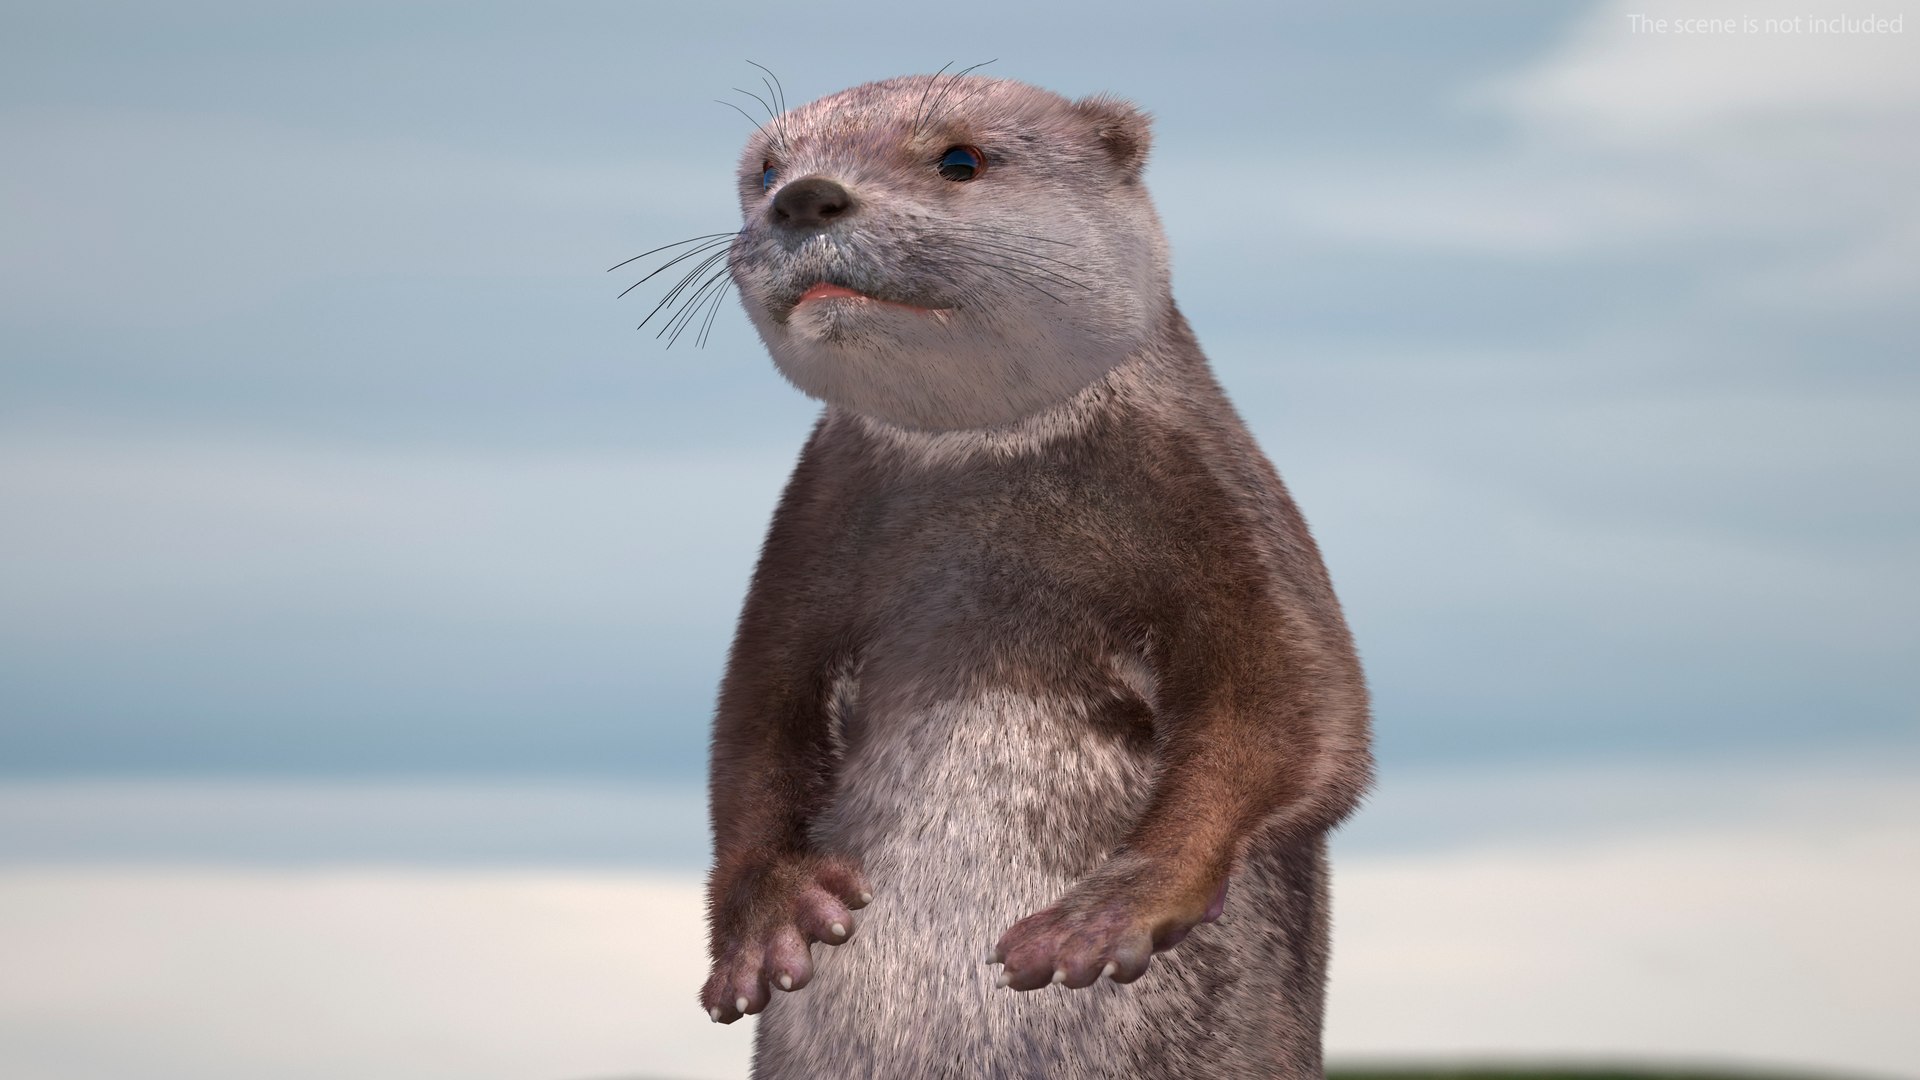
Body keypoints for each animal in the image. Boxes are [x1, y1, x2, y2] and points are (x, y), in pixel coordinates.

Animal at [689, 73, 1372, 1079]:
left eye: (960, 157)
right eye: (765, 168)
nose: (804, 197)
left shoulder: (1227, 513)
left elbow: (1297, 714)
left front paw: (1112, 911)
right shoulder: (802, 555)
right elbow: (751, 731)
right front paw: (766, 921)